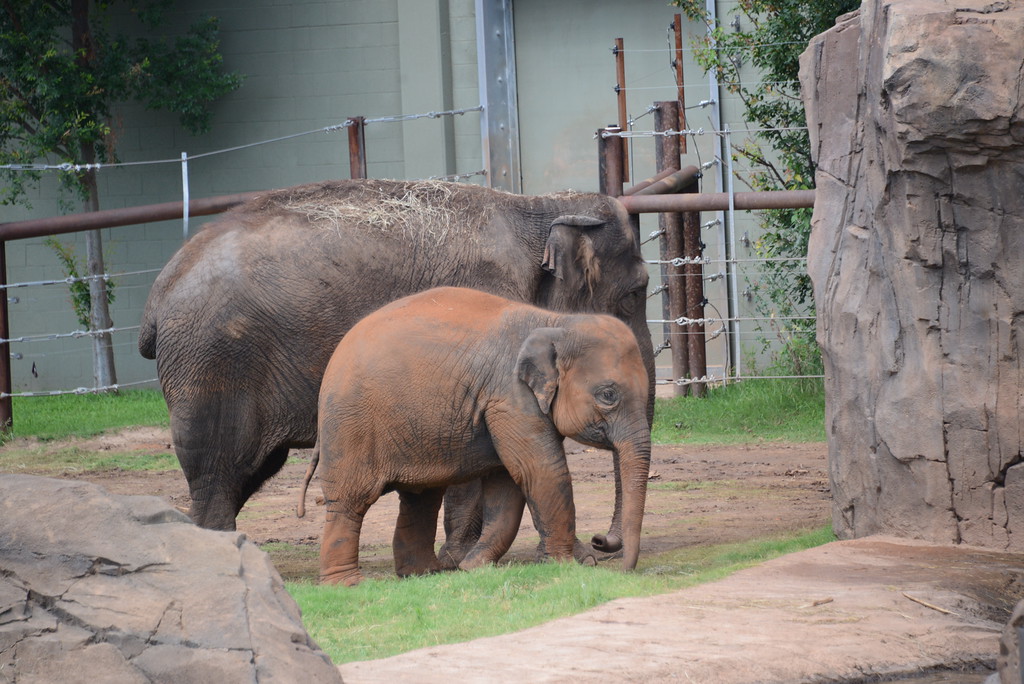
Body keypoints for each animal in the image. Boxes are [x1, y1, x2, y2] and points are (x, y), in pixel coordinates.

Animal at [138, 179, 654, 556]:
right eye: (636, 294)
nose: (603, 542)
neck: (537, 207)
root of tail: (159, 291)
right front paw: (454, 558)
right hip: (212, 365)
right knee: (219, 471)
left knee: (246, 472)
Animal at [314, 287, 652, 586]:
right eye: (608, 395)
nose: (600, 542)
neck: (556, 321)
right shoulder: (510, 397)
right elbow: (541, 472)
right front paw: (565, 566)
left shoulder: (501, 405)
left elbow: (508, 484)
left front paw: (473, 567)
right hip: (349, 424)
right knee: (351, 499)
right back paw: (348, 584)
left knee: (421, 498)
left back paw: (424, 574)